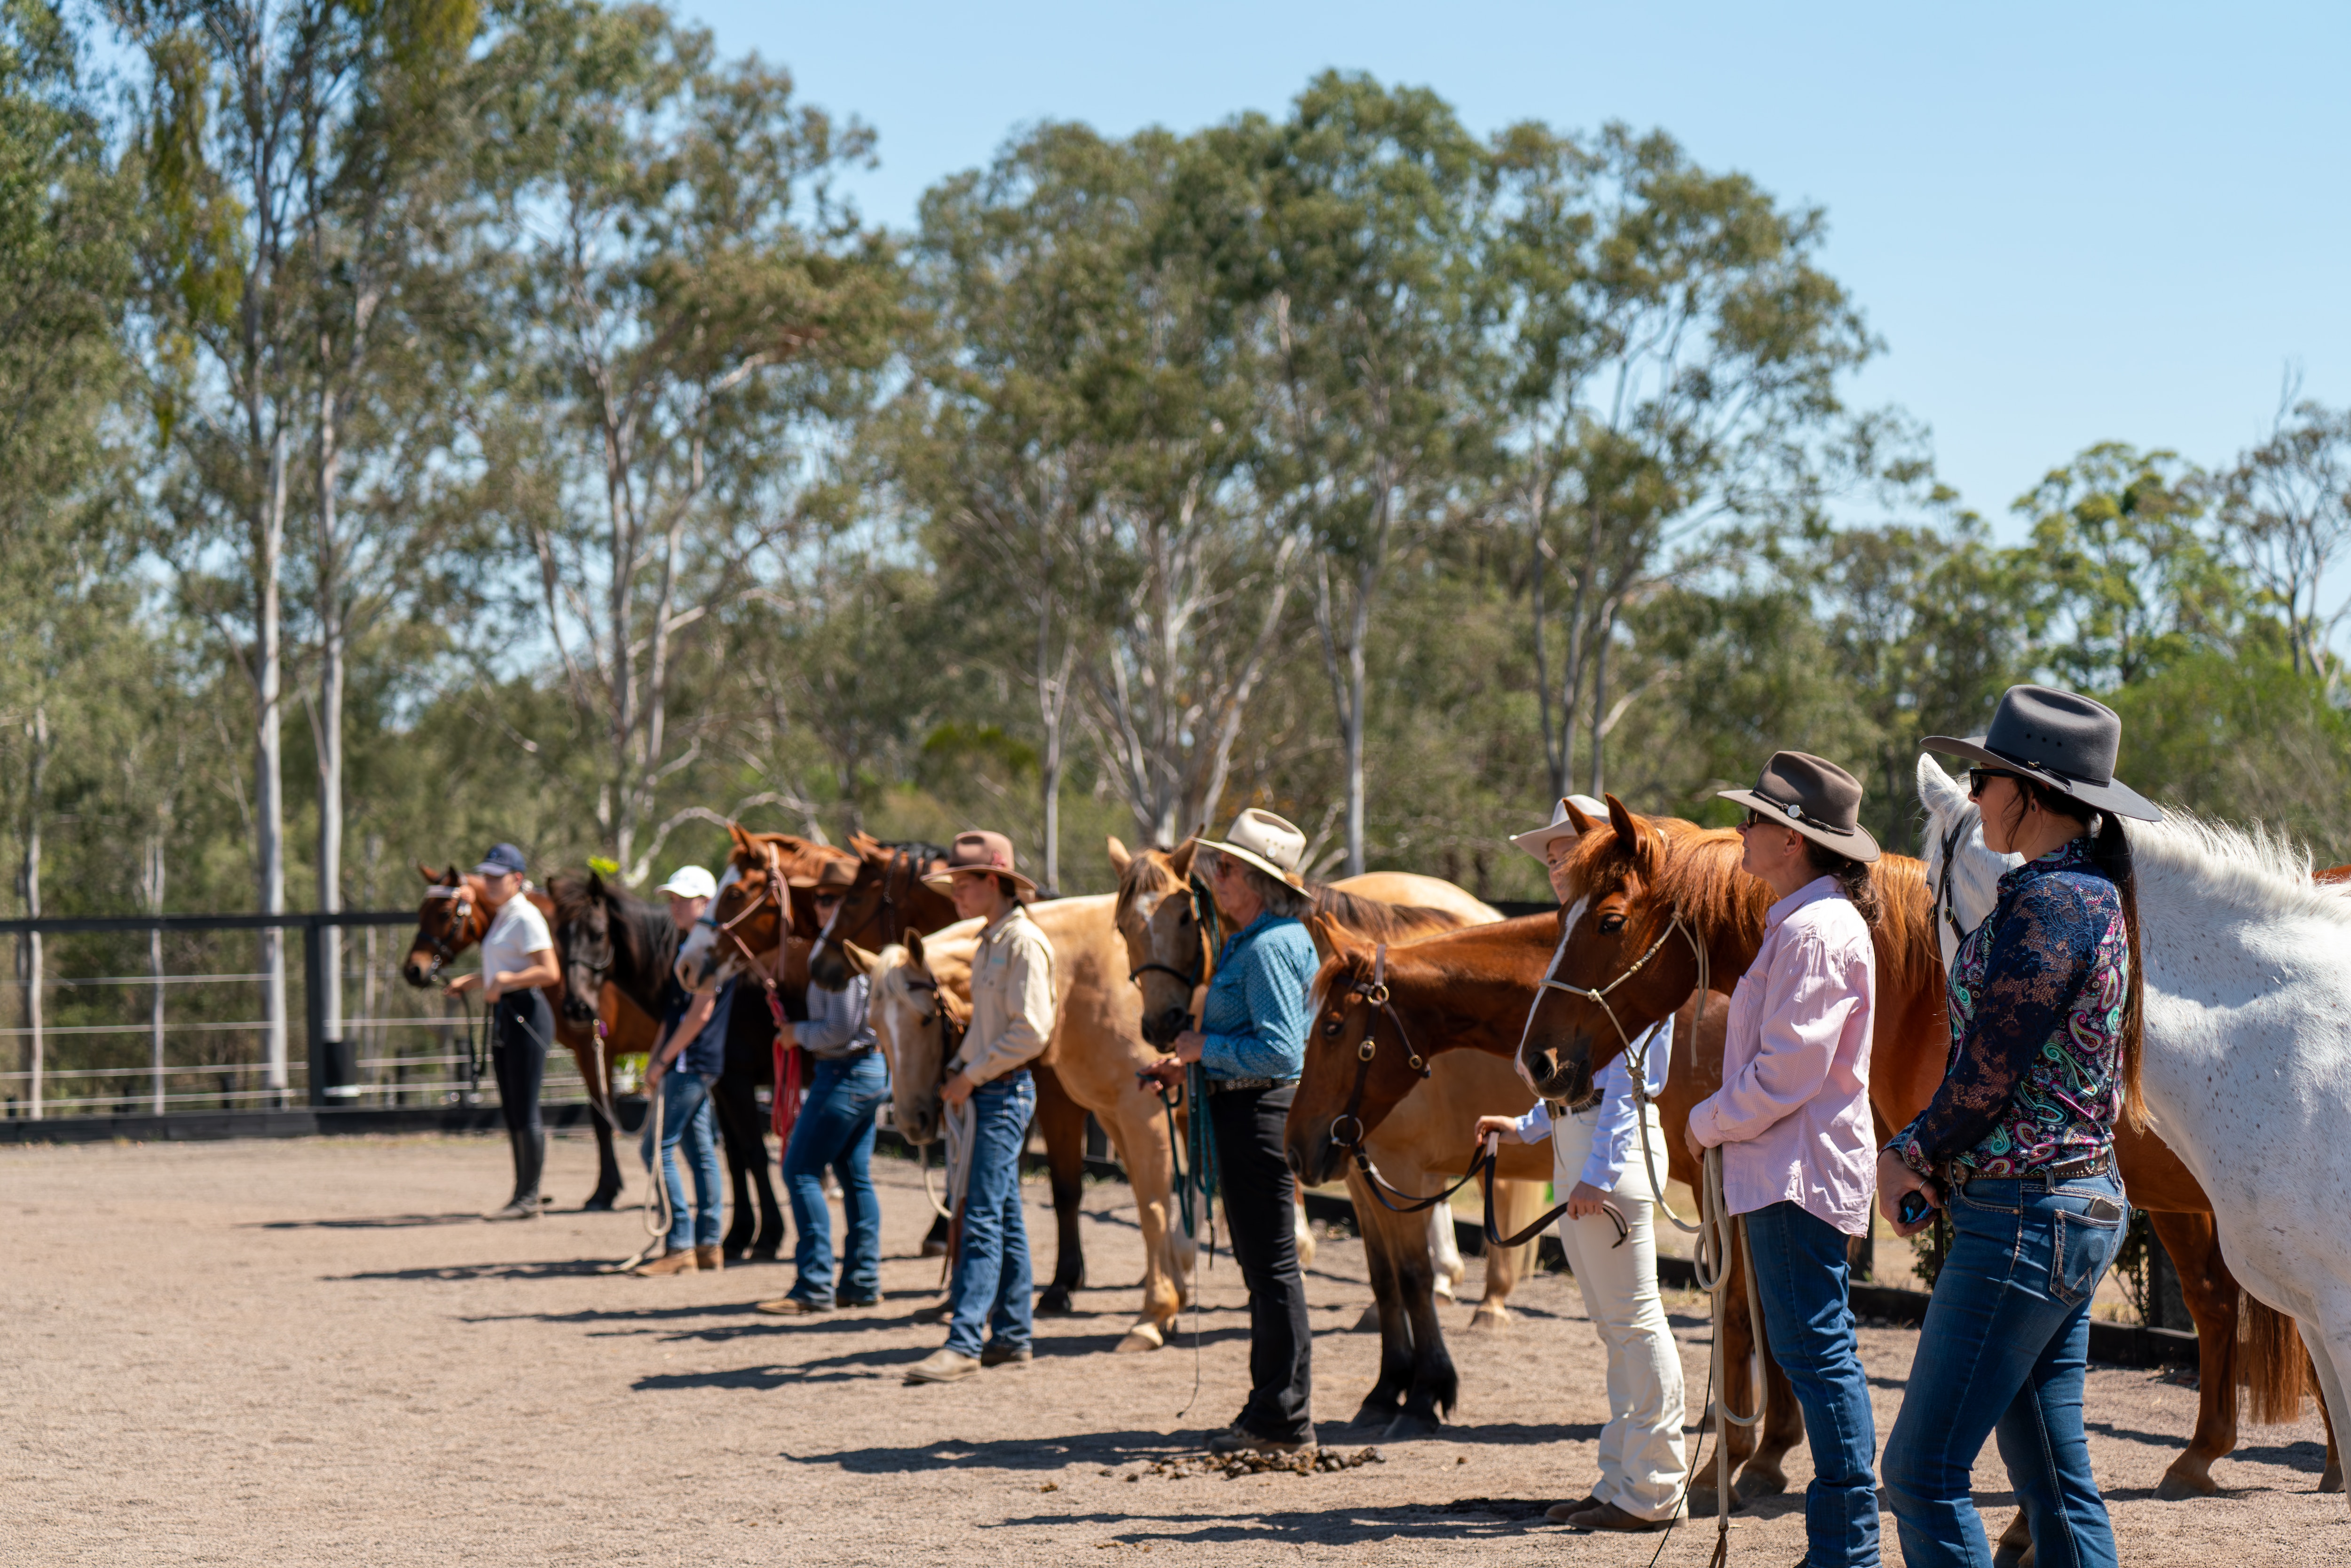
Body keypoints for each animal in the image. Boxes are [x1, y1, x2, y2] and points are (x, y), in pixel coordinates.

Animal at [400, 865, 658, 1209]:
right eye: (420, 912)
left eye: (444, 913)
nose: (413, 970)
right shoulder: (591, 1054)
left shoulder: (595, 1051)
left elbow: (602, 1119)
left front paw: (603, 1192)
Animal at [549, 869, 801, 1262]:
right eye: (560, 937)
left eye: (598, 933)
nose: (577, 1007)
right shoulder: (720, 1086)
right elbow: (733, 1158)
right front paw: (736, 1236)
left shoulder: (738, 1081)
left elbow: (755, 1154)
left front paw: (769, 1237)